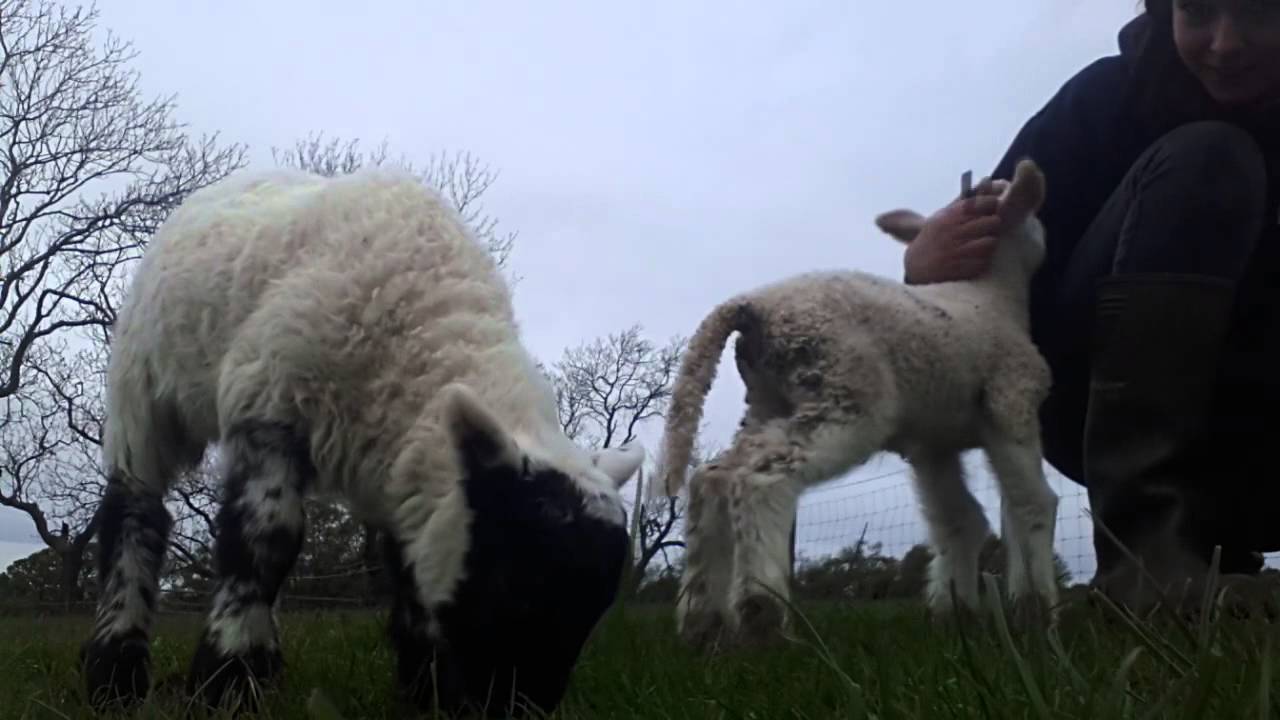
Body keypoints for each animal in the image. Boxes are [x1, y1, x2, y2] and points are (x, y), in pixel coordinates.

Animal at [79, 166, 646, 717]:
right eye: (514, 583)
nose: (521, 708)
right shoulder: (269, 403)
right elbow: (264, 541)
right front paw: (226, 680)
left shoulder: (399, 469)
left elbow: (408, 567)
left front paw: (427, 690)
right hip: (142, 388)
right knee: (135, 512)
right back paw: (116, 675)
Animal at [652, 159, 1059, 648]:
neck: (992, 294)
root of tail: (751, 306)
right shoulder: (1011, 400)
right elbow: (1032, 504)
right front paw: (1039, 614)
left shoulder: (932, 441)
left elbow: (960, 520)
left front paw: (955, 615)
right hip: (846, 392)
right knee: (761, 478)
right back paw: (761, 617)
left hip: (770, 398)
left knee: (715, 476)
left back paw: (703, 622)